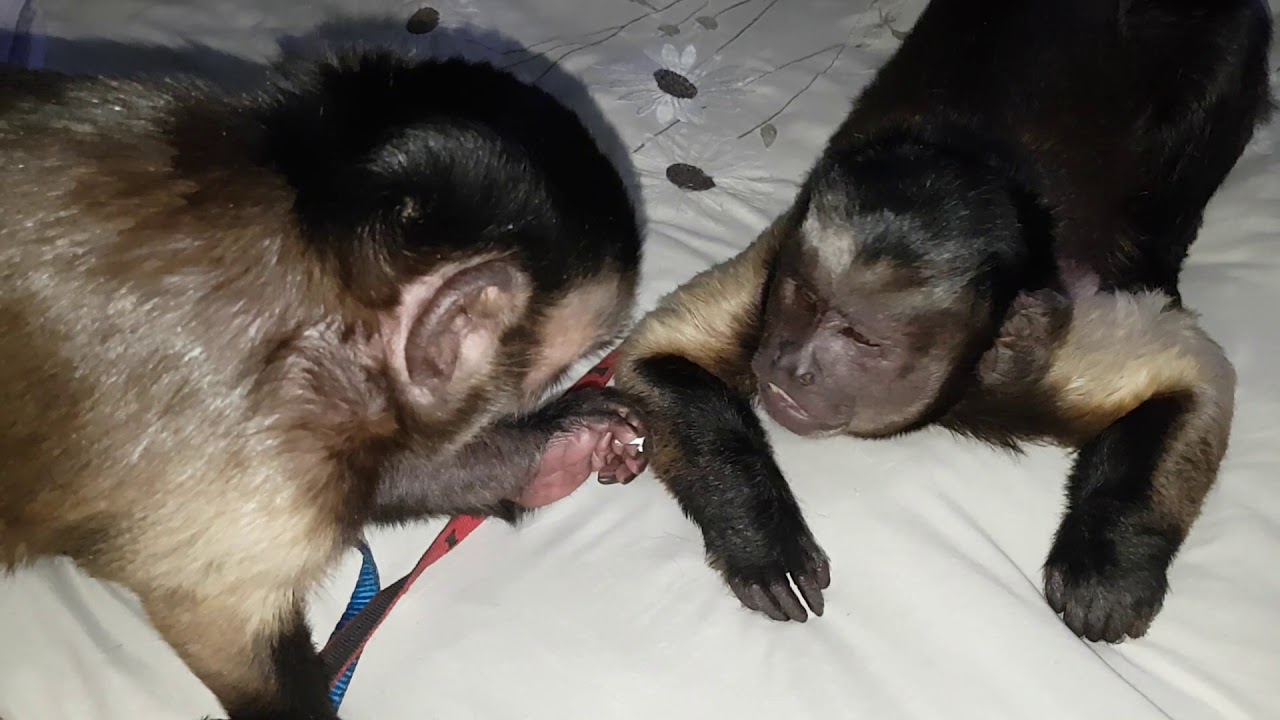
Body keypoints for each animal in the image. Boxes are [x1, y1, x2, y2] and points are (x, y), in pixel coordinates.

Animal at [614, 0, 1274, 644]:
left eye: (861, 338)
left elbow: (1198, 375)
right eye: (802, 300)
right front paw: (760, 538)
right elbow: (653, 354)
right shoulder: (774, 264)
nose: (791, 364)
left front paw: (1108, 566)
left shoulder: (1042, 346)